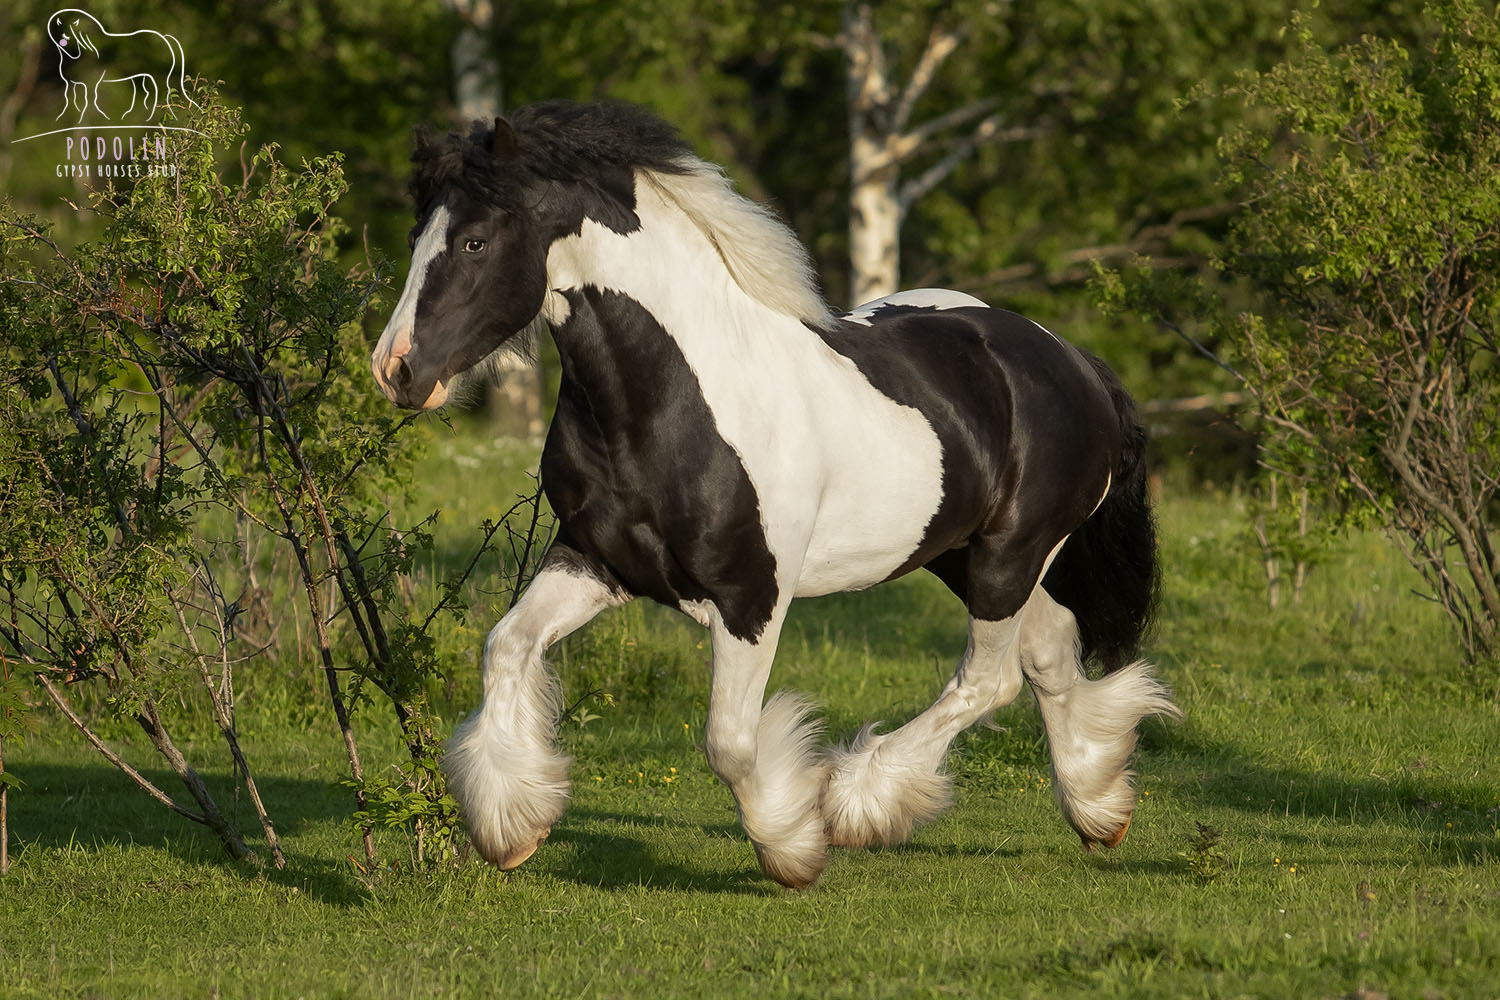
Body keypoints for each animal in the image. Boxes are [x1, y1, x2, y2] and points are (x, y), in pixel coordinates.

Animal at [370, 100, 1181, 888]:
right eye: (416, 237)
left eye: (474, 243)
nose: (396, 371)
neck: (676, 402)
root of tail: (1068, 358)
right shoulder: (592, 562)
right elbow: (505, 646)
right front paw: (512, 827)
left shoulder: (750, 595)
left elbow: (730, 742)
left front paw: (794, 847)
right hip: (964, 554)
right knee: (1046, 655)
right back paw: (1099, 806)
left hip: (1010, 554)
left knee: (991, 679)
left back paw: (862, 804)